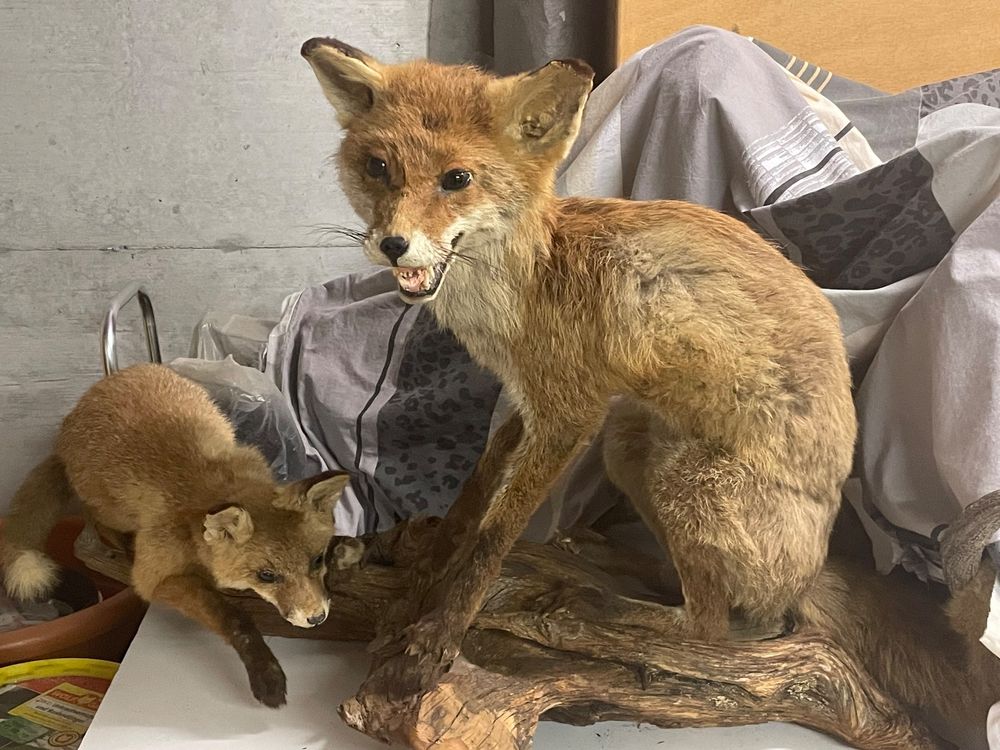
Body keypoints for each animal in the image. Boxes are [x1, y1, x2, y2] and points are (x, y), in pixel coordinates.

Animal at [0, 364, 349, 707]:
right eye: (267, 575)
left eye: (317, 560)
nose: (316, 618)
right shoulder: (155, 576)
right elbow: (233, 616)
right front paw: (266, 673)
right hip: (110, 507)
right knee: (96, 519)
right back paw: (120, 543)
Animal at [300, 37, 856, 683]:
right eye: (378, 168)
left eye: (457, 179)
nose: (393, 245)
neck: (530, 284)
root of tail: (807, 579)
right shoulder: (526, 401)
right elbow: (469, 504)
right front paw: (418, 582)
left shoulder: (570, 415)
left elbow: (493, 536)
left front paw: (441, 630)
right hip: (629, 448)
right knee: (687, 586)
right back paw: (606, 557)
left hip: (680, 478)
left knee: (710, 625)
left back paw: (598, 605)